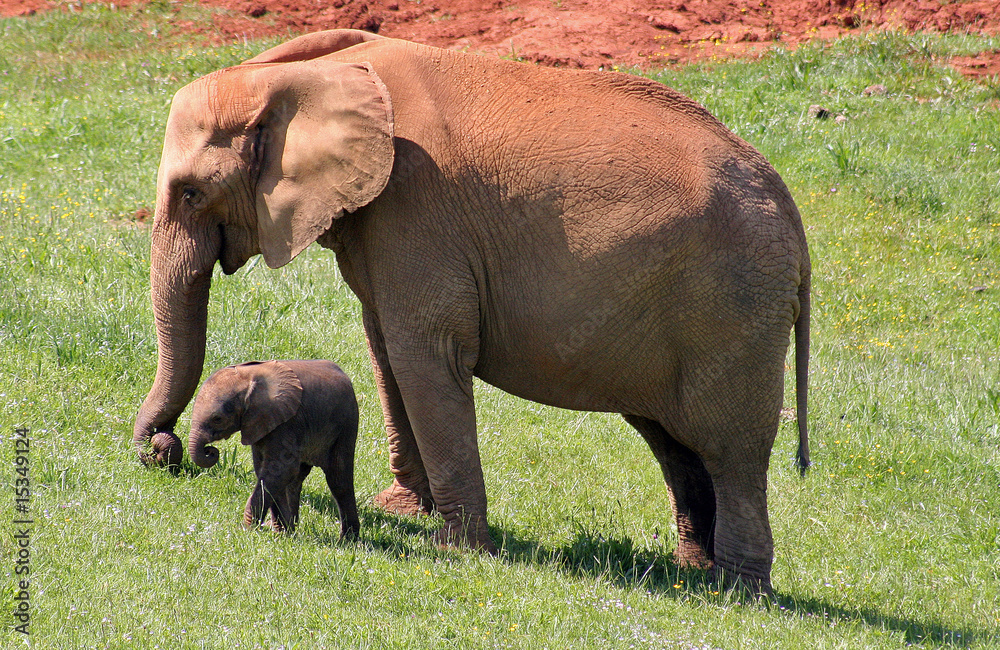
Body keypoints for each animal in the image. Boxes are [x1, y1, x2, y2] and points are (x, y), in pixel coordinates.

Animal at [188, 359, 360, 538]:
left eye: (217, 419)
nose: (210, 451)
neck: (248, 377)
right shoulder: (260, 423)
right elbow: (267, 472)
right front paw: (282, 532)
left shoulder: (287, 422)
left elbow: (280, 470)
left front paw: (248, 529)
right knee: (296, 481)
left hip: (347, 424)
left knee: (338, 479)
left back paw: (347, 540)